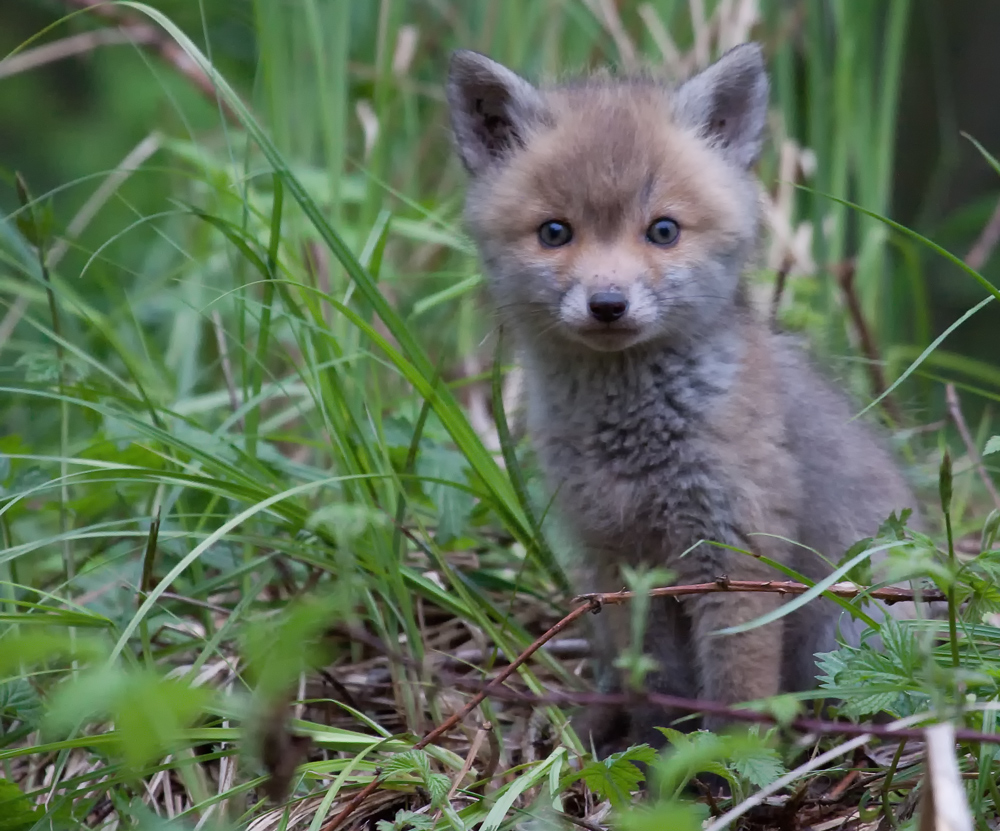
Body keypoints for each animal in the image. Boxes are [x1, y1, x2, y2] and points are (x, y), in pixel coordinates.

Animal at [445, 43, 920, 754]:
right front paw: (650, 751)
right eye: (555, 232)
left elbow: (738, 687)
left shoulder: (737, 548)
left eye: (663, 230)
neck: (632, 445)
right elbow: (654, 681)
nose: (607, 304)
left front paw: (733, 761)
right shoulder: (615, 560)